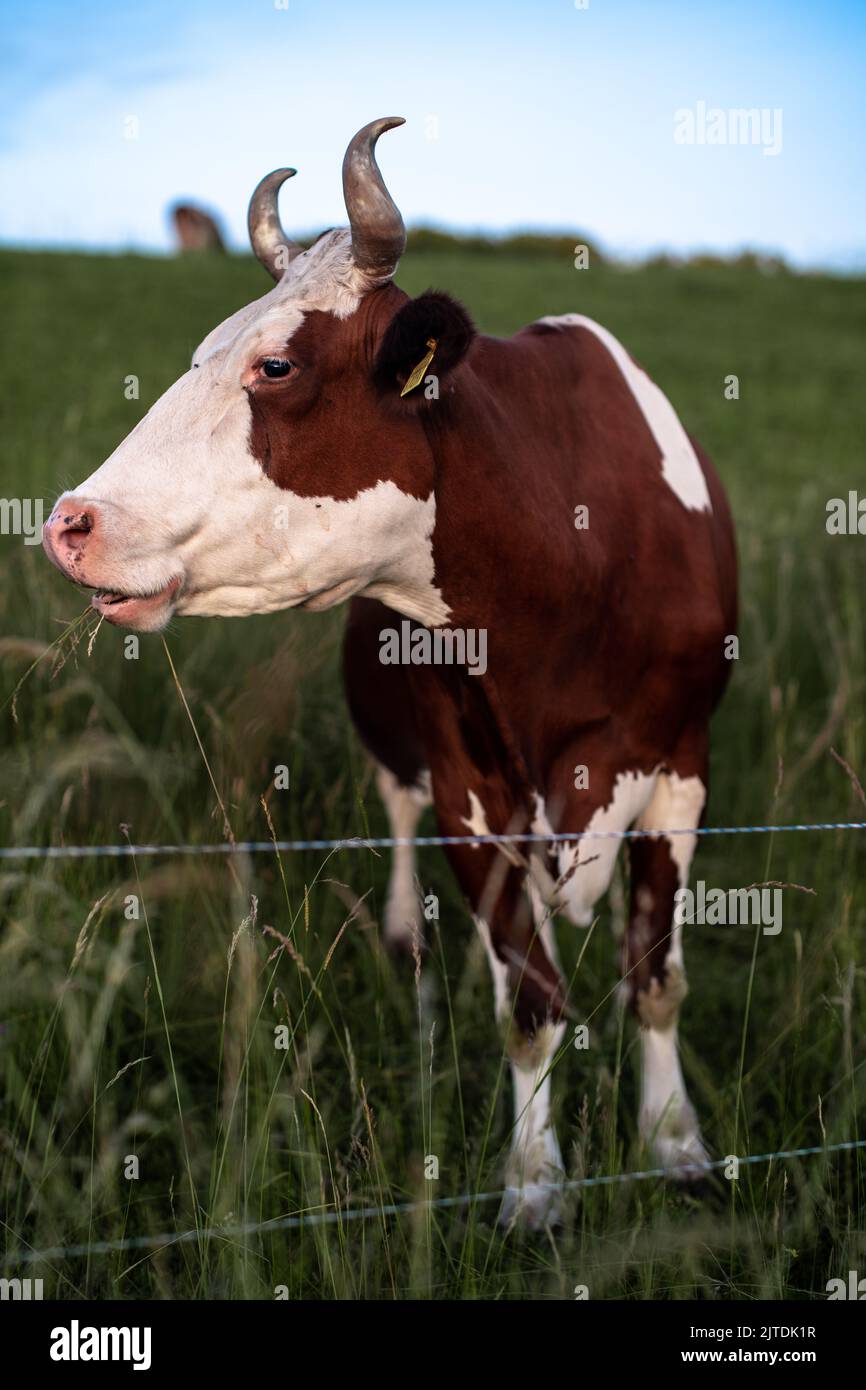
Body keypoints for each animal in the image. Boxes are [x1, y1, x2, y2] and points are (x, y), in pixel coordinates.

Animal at [43, 117, 737, 1228]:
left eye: (276, 363)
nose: (69, 523)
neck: (564, 577)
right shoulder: (469, 787)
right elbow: (531, 1005)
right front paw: (534, 1185)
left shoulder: (681, 763)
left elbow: (654, 977)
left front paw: (676, 1147)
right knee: (400, 812)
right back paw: (413, 933)